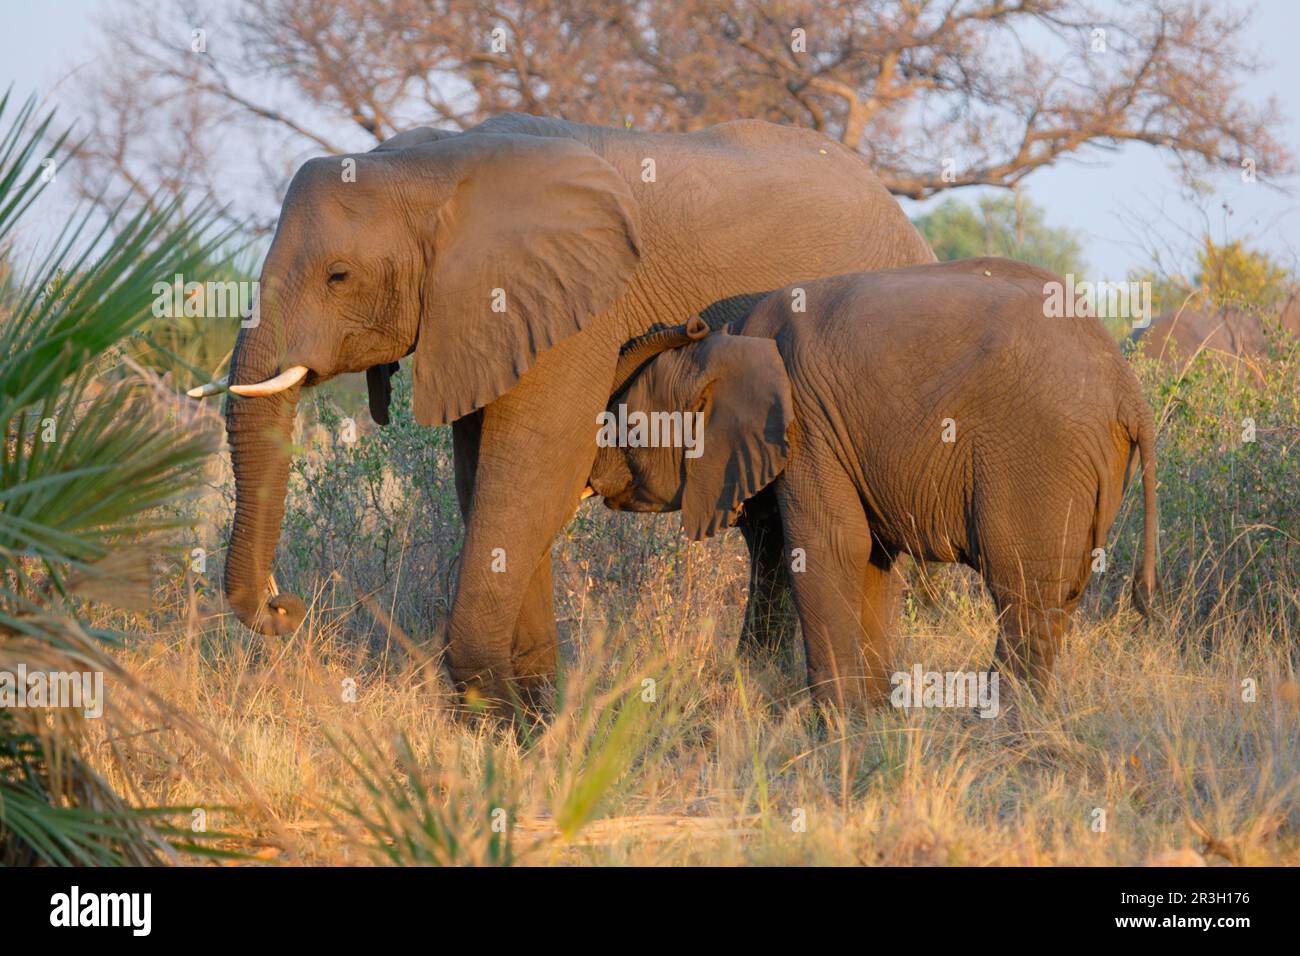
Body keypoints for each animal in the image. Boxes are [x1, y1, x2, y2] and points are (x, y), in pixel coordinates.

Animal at [195, 112, 935, 708]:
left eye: (338, 276)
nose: (285, 606)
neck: (435, 167)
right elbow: (485, 481)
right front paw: (528, 715)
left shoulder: (580, 308)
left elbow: (534, 471)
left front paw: (503, 718)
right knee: (767, 528)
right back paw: (754, 681)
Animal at [586, 258, 1160, 709]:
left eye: (627, 425)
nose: (690, 323)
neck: (732, 339)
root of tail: (1128, 389)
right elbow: (871, 560)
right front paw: (876, 722)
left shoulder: (807, 427)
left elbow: (828, 549)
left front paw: (838, 734)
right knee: (1059, 593)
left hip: (1037, 455)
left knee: (1023, 591)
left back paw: (1000, 728)